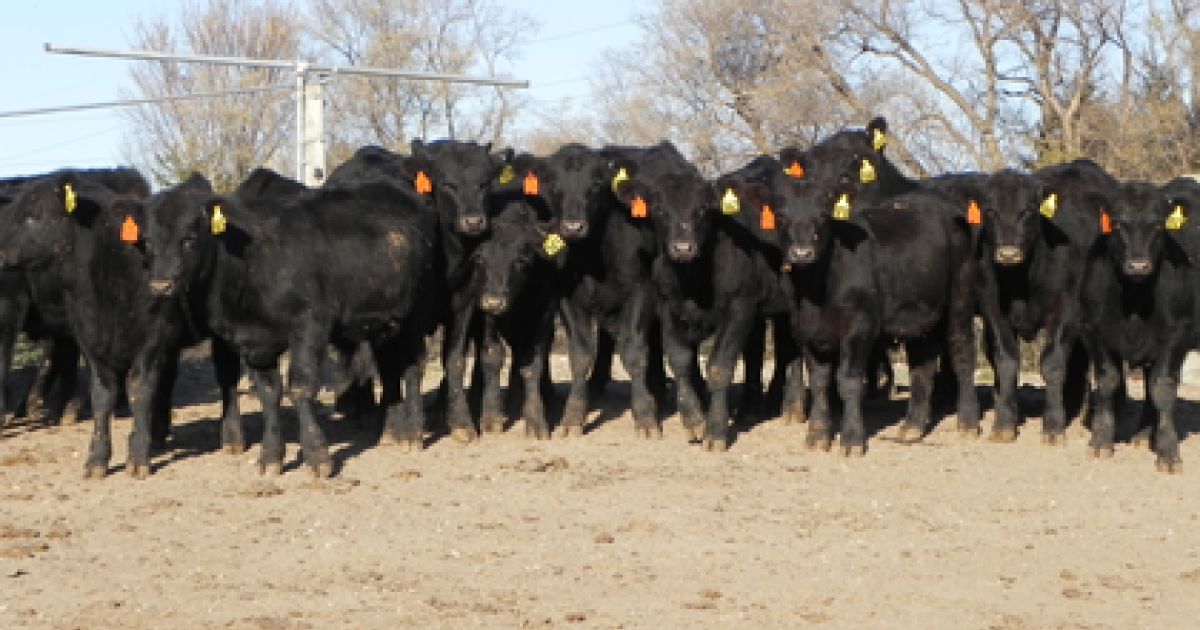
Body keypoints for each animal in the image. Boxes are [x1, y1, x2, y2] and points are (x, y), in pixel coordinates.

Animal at [143, 171, 437, 477]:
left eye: (188, 239)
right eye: (148, 242)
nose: (161, 285)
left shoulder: (309, 326)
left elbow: (300, 386)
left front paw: (318, 456)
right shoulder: (254, 342)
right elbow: (269, 393)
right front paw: (271, 456)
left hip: (417, 311)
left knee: (413, 366)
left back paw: (414, 433)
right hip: (383, 321)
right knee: (389, 367)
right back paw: (391, 430)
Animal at [1077, 182, 1195, 473]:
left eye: (1158, 224)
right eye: (1117, 223)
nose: (1139, 265)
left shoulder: (1179, 334)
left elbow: (1162, 387)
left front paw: (1168, 452)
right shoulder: (1093, 330)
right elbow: (1108, 382)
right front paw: (1100, 442)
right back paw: (1143, 435)